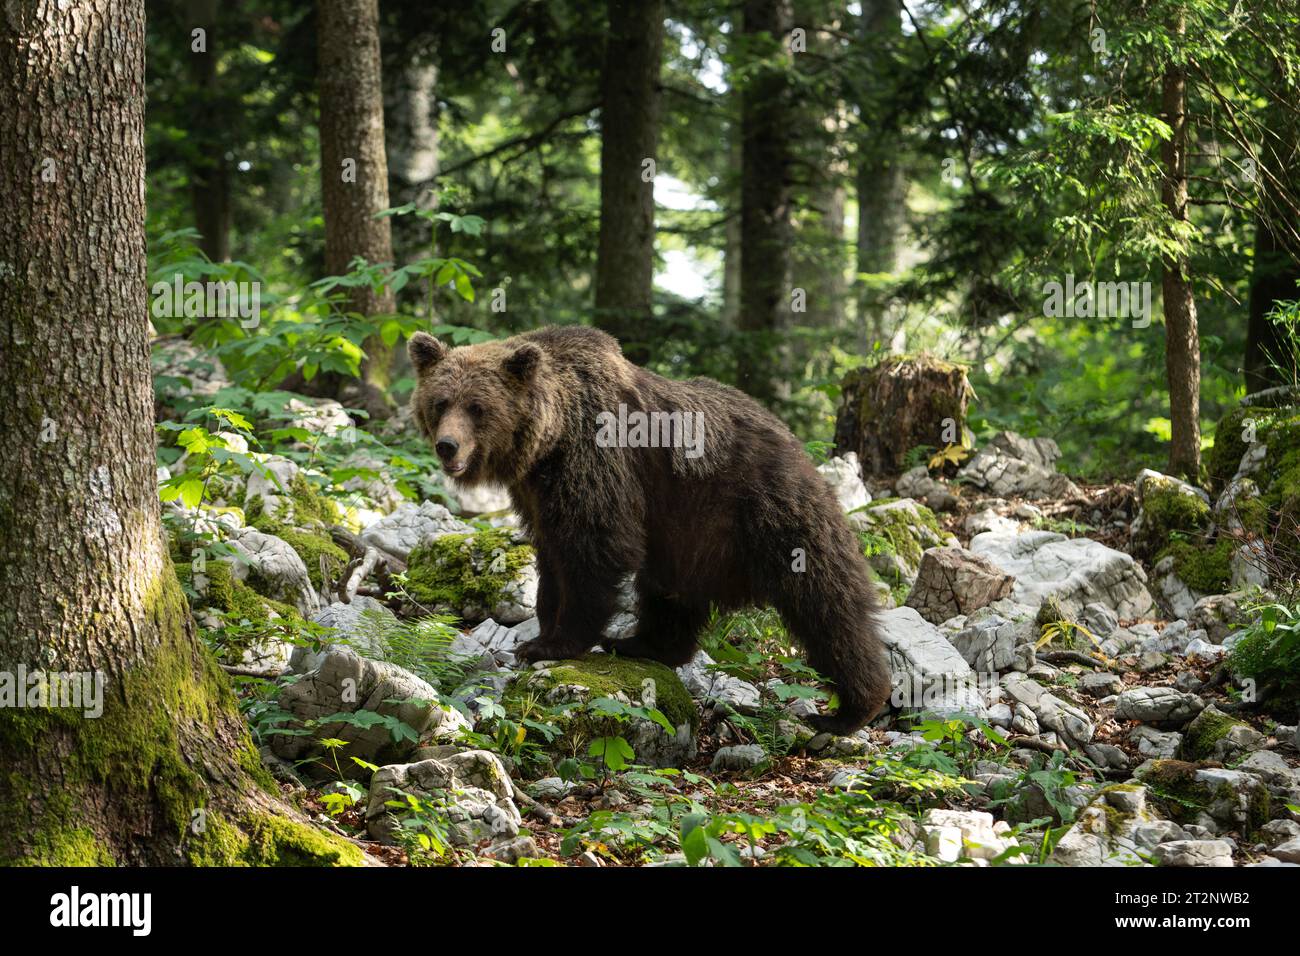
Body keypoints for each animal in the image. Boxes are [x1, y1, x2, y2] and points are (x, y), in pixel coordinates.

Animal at [406, 325, 892, 734]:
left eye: (477, 407)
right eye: (440, 402)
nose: (447, 446)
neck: (550, 440)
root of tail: (795, 442)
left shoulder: (597, 461)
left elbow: (596, 546)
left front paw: (554, 643)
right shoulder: (538, 493)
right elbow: (552, 556)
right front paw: (542, 631)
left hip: (769, 512)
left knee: (825, 601)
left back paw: (849, 709)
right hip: (689, 533)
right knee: (670, 590)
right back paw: (643, 644)